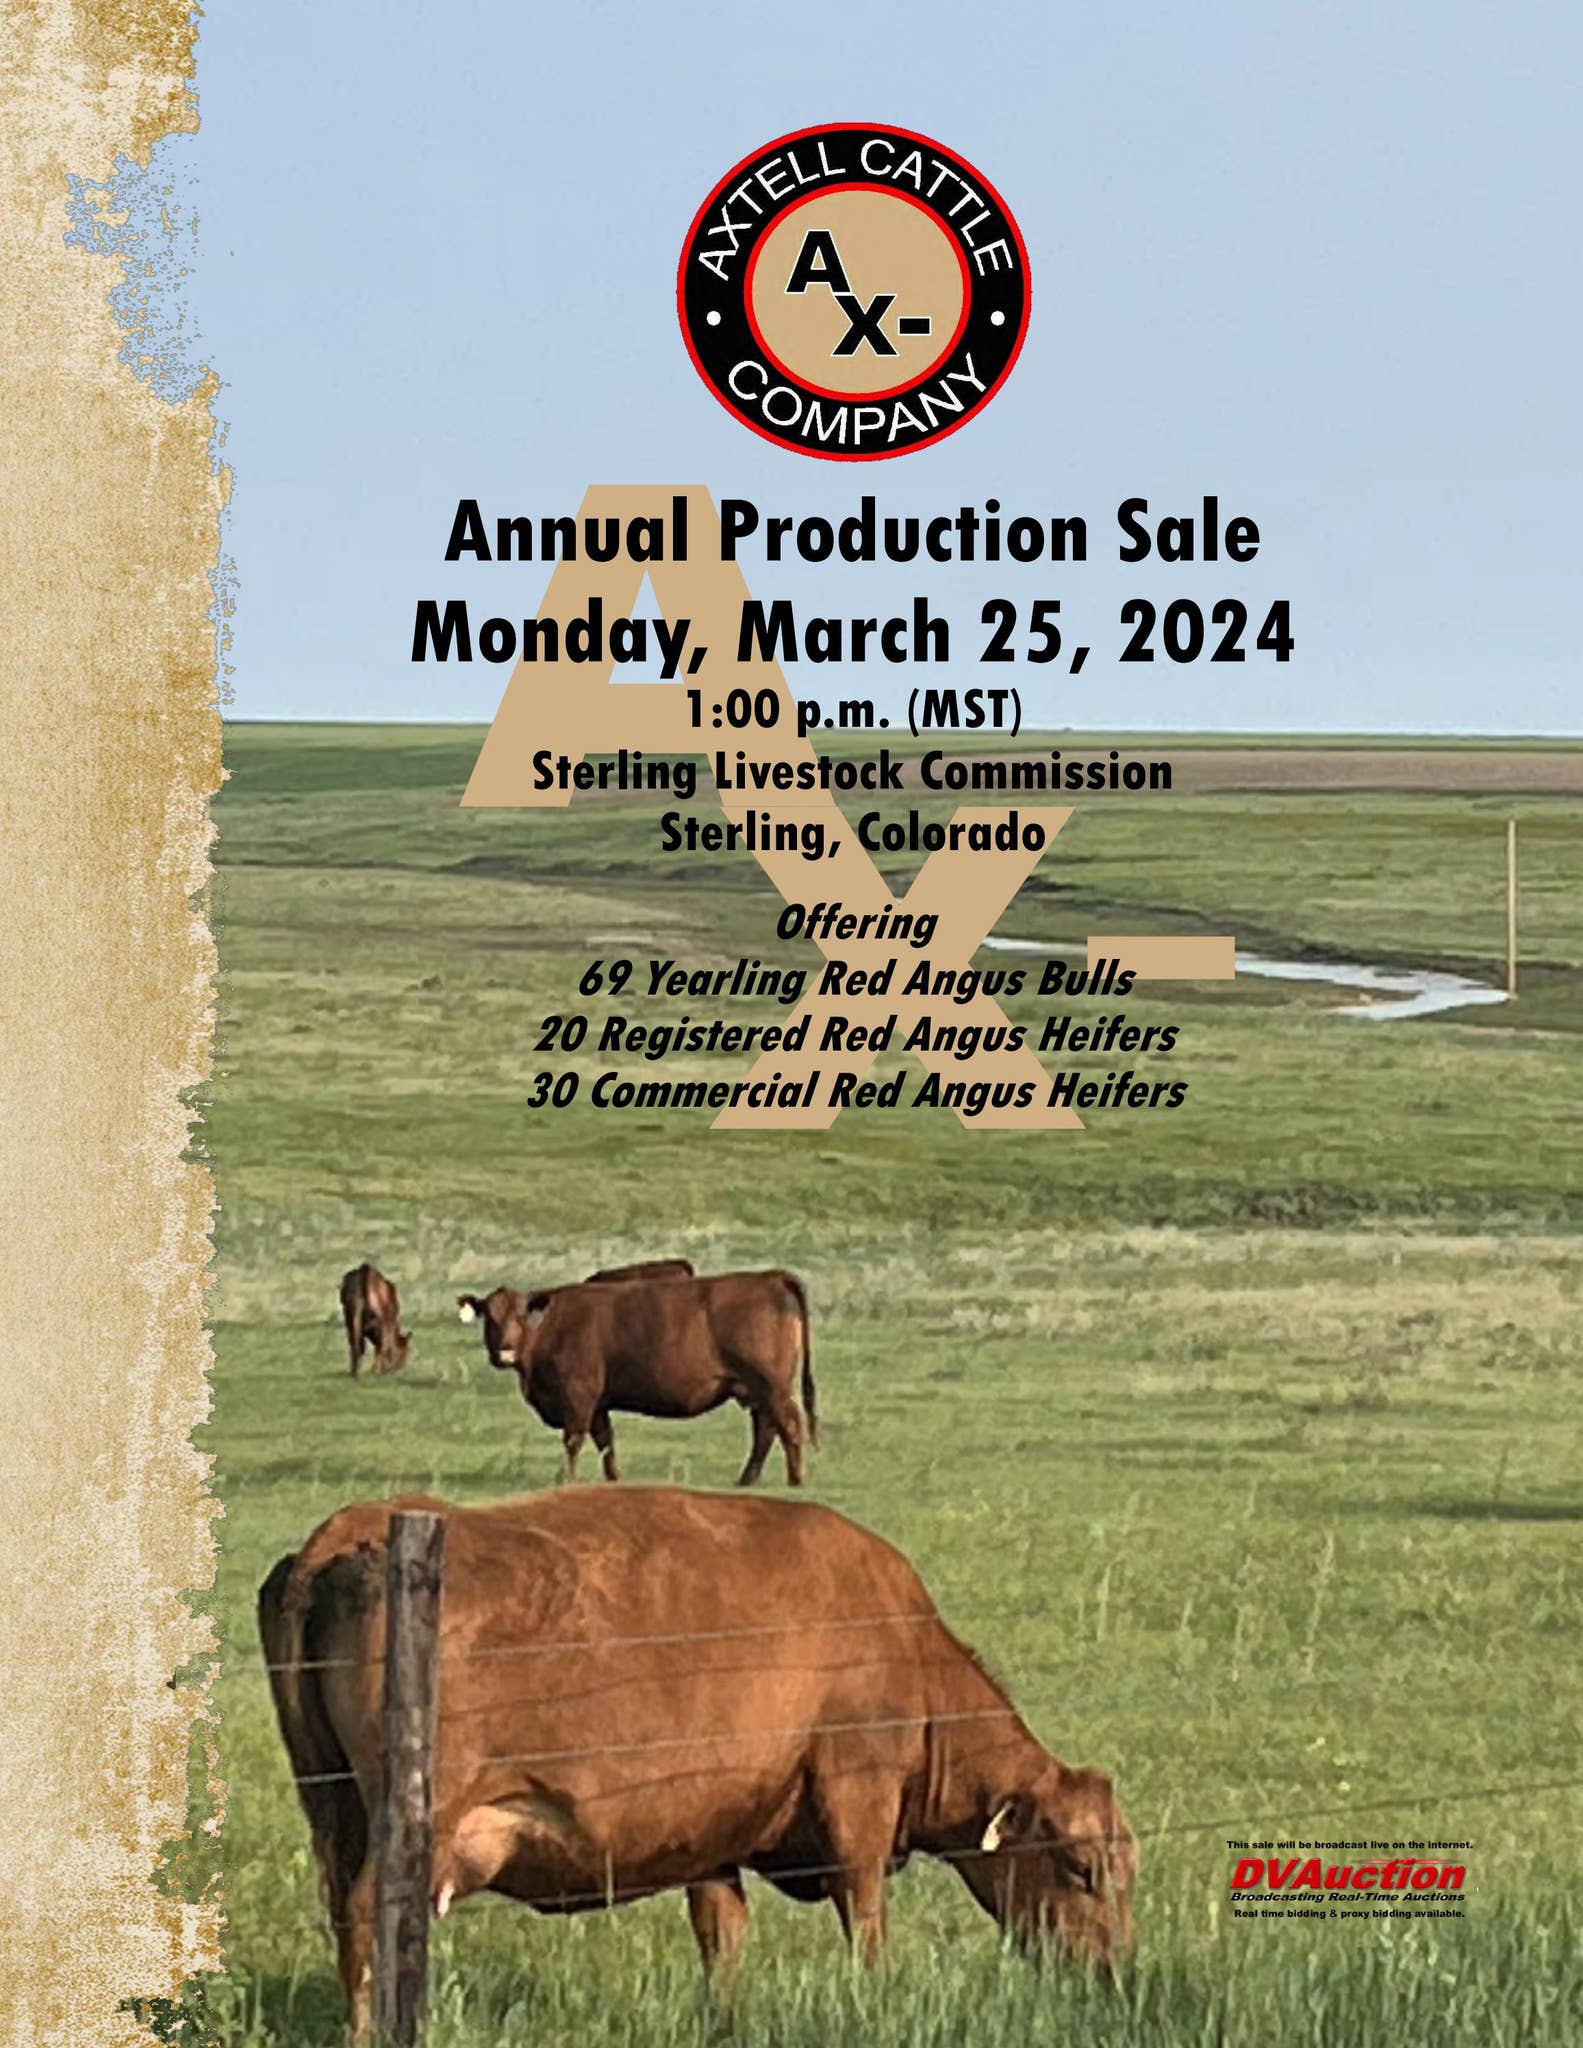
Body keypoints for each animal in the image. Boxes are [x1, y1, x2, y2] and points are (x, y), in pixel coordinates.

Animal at [258, 1487, 1136, 2041]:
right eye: (1082, 1869)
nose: (1115, 1980)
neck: (902, 1645)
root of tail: (348, 1532)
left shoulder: (712, 1834)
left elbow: (722, 1938)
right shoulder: (857, 1799)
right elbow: (865, 1917)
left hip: (334, 1812)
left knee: (344, 1913)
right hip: (415, 1823)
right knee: (372, 1916)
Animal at [454, 1269, 815, 1485]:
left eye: (520, 1316)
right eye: (490, 1317)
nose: (504, 1353)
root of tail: (768, 1277)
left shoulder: (578, 1394)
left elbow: (574, 1439)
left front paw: (567, 1479)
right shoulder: (598, 1403)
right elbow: (605, 1441)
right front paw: (614, 1478)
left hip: (772, 1386)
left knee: (788, 1424)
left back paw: (795, 1479)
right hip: (754, 1390)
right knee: (766, 1429)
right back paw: (747, 1479)